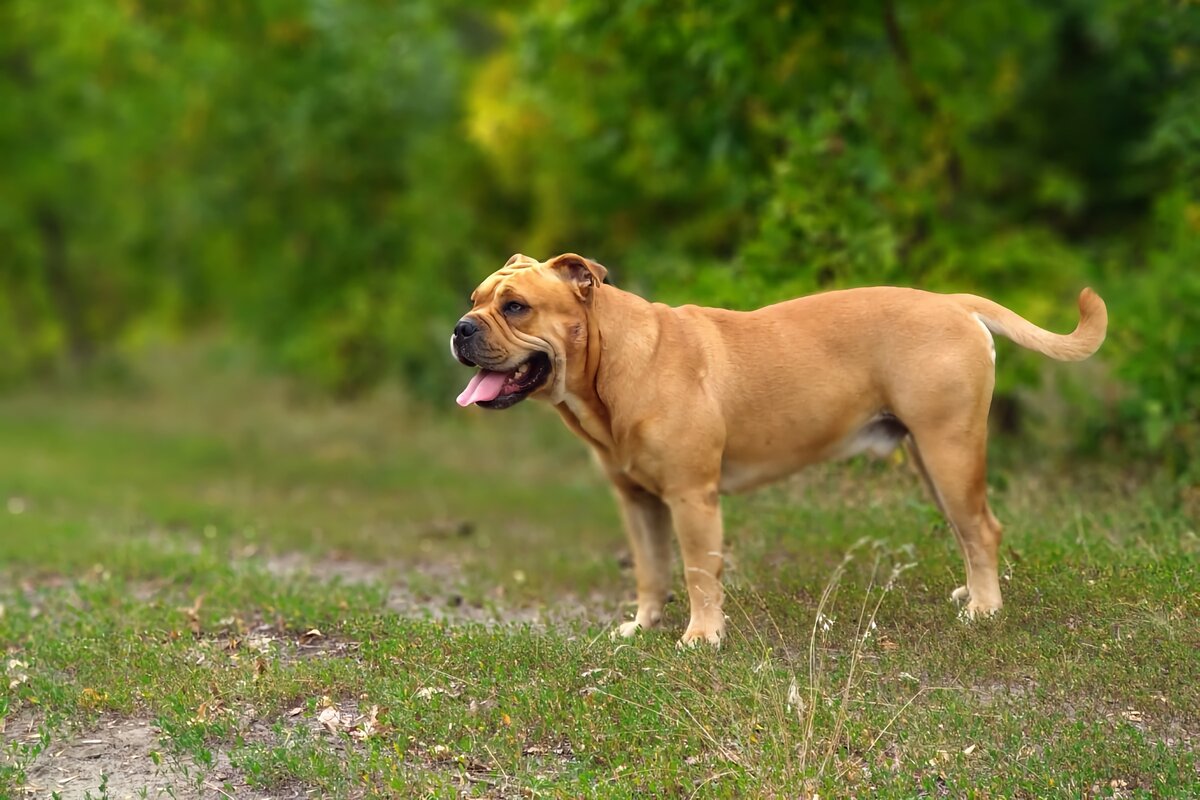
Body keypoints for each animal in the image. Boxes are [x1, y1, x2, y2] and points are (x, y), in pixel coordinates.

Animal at [451, 253, 1104, 647]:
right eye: (475, 298)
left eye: (515, 307)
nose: (461, 327)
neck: (611, 363)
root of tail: (954, 302)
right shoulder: (638, 502)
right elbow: (650, 570)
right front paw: (642, 625)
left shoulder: (691, 498)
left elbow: (698, 571)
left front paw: (700, 637)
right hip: (933, 458)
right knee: (968, 532)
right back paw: (972, 594)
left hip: (951, 450)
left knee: (982, 529)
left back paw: (984, 610)